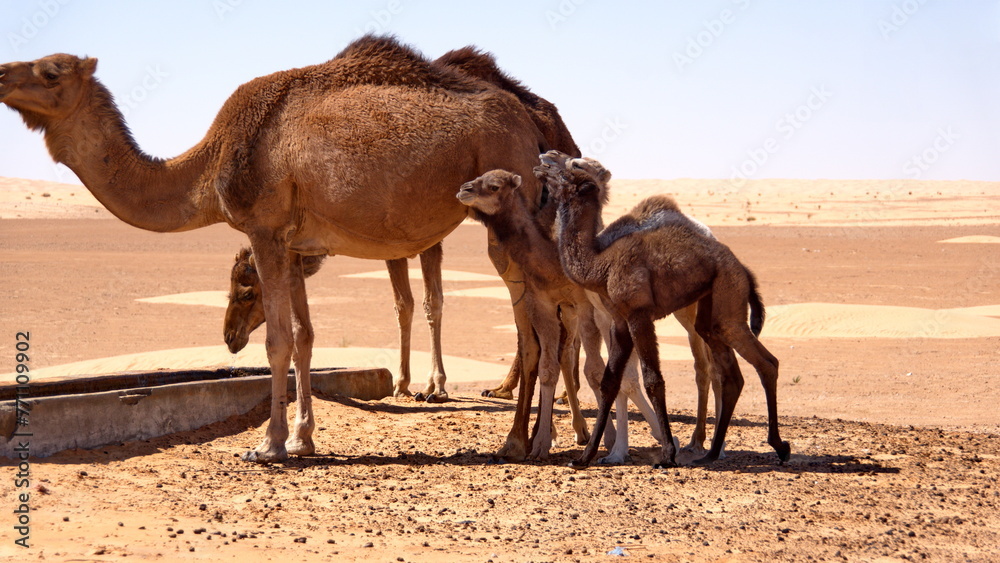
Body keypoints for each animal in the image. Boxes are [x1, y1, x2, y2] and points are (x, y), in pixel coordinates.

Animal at [224, 243, 449, 402]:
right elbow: (403, 305)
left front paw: (437, 389)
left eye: (247, 294)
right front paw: (403, 386)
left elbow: (432, 301)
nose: (229, 336)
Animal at [545, 157, 791, 469]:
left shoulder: (638, 316)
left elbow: (653, 380)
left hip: (728, 296)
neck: (601, 262)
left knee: (766, 363)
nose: (543, 162)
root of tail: (744, 269)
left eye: (572, 165)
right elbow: (609, 382)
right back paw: (712, 452)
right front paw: (584, 457)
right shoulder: (620, 322)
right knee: (731, 373)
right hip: (711, 308)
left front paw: (667, 454)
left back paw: (779, 447)